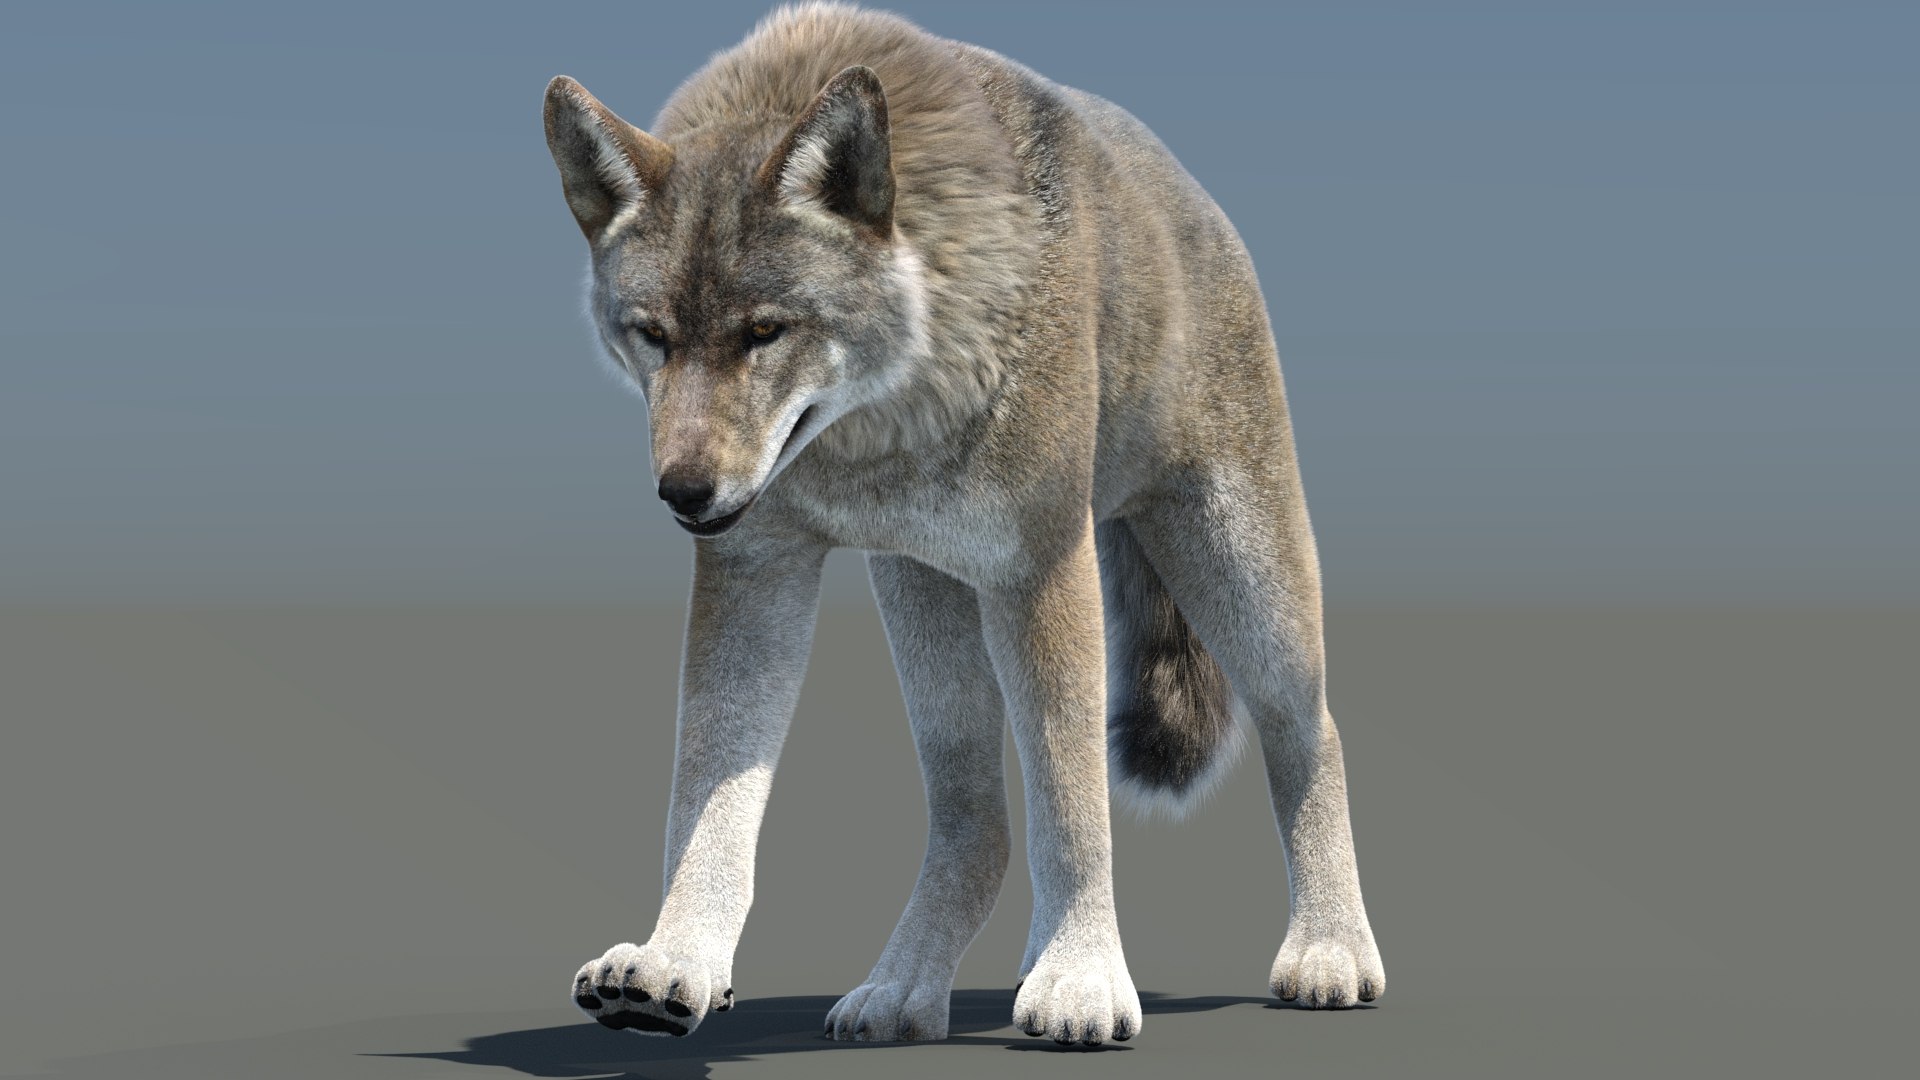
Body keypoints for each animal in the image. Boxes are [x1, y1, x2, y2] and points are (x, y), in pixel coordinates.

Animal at [544, 2, 1384, 1046]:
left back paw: (1331, 950)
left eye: (765, 332)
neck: (880, 434)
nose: (685, 493)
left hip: (1239, 580)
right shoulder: (753, 568)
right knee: (976, 820)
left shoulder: (1044, 567)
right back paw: (906, 989)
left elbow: (1074, 806)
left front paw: (1081, 980)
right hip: (924, 596)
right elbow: (707, 802)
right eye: (652, 336)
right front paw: (674, 962)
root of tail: (1189, 190)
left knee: (1313, 732)